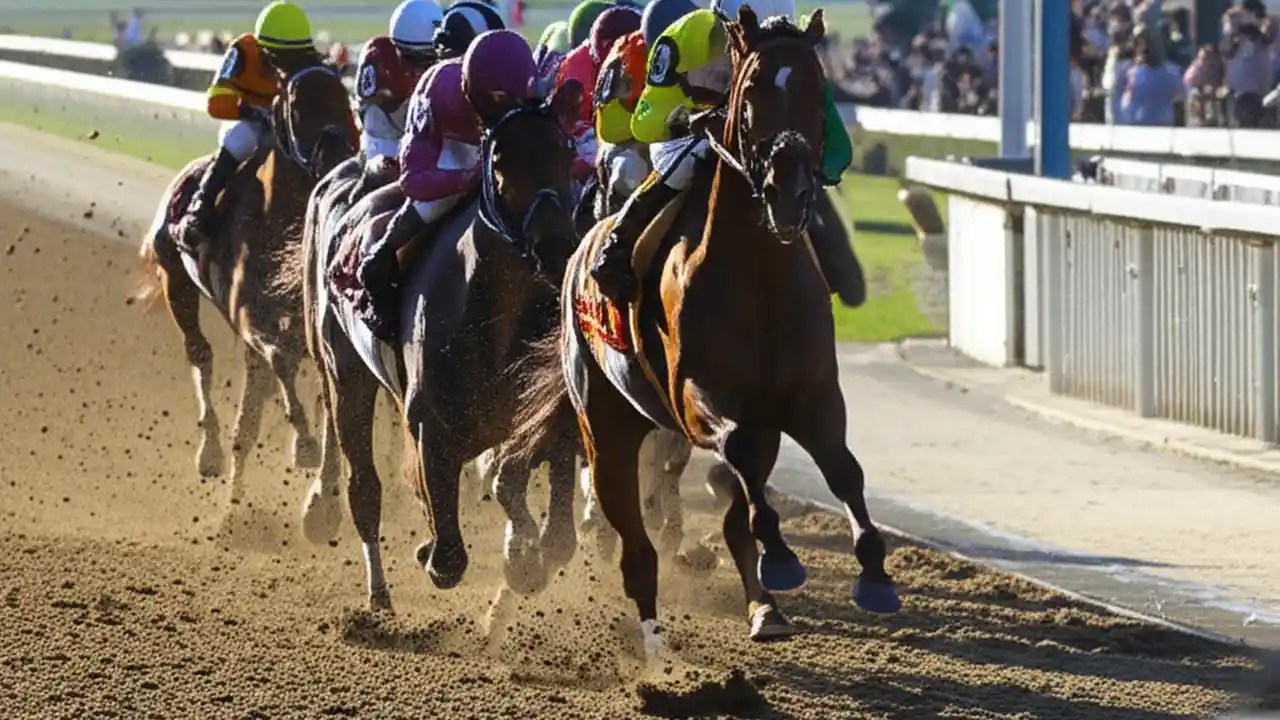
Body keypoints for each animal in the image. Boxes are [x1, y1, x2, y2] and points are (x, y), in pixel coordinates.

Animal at [135, 59, 358, 508]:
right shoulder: (249, 318)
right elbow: (279, 361)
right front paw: (304, 444)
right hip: (175, 280)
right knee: (200, 352)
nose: (336, 156)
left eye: (343, 96)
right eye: (296, 103)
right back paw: (210, 451)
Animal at [298, 82, 586, 610]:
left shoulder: (544, 416)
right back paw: (378, 592)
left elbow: (546, 521)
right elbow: (449, 560)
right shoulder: (432, 425)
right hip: (343, 372)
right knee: (363, 488)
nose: (556, 245)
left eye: (564, 151)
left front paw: (525, 556)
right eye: (500, 160)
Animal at [511, 9, 899, 660]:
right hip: (607, 430)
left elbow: (844, 468)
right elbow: (737, 454)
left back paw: (765, 610)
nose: (790, 193)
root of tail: (577, 252)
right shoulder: (696, 397)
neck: (761, 276)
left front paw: (873, 573)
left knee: (730, 514)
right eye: (752, 93)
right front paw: (782, 555)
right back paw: (656, 652)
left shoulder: (812, 396)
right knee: (637, 551)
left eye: (817, 89)